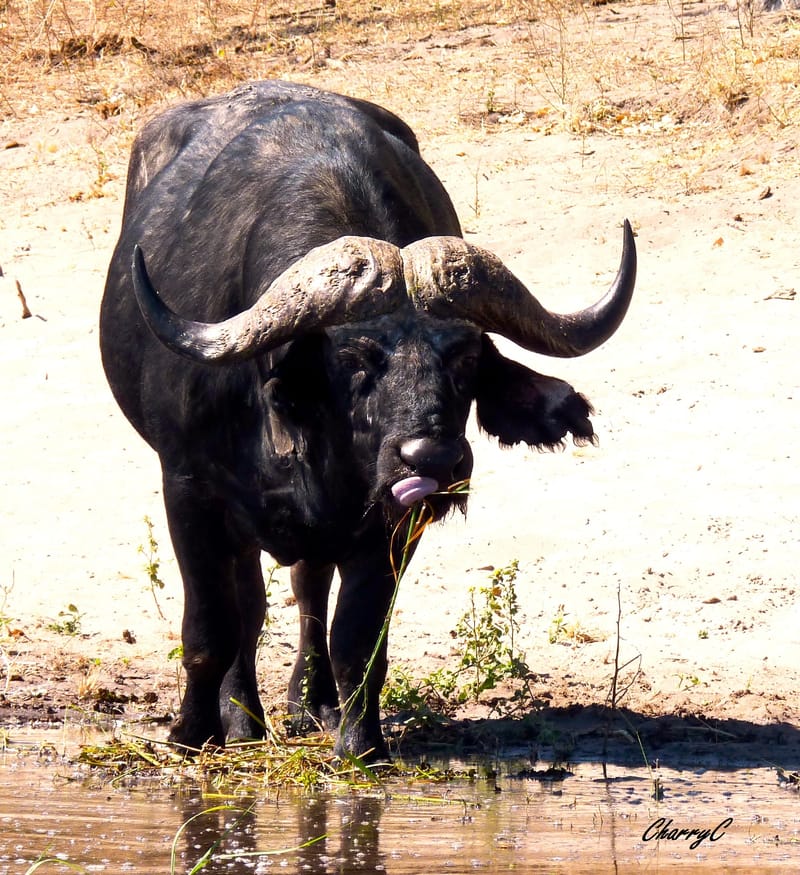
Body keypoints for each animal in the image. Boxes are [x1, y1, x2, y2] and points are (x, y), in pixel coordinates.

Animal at [100, 80, 636, 760]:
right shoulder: (189, 490)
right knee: (249, 603)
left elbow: (357, 637)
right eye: (354, 358)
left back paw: (311, 705)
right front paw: (193, 733)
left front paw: (361, 743)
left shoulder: (390, 522)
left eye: (465, 358)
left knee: (306, 591)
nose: (433, 460)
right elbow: (210, 628)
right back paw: (244, 718)